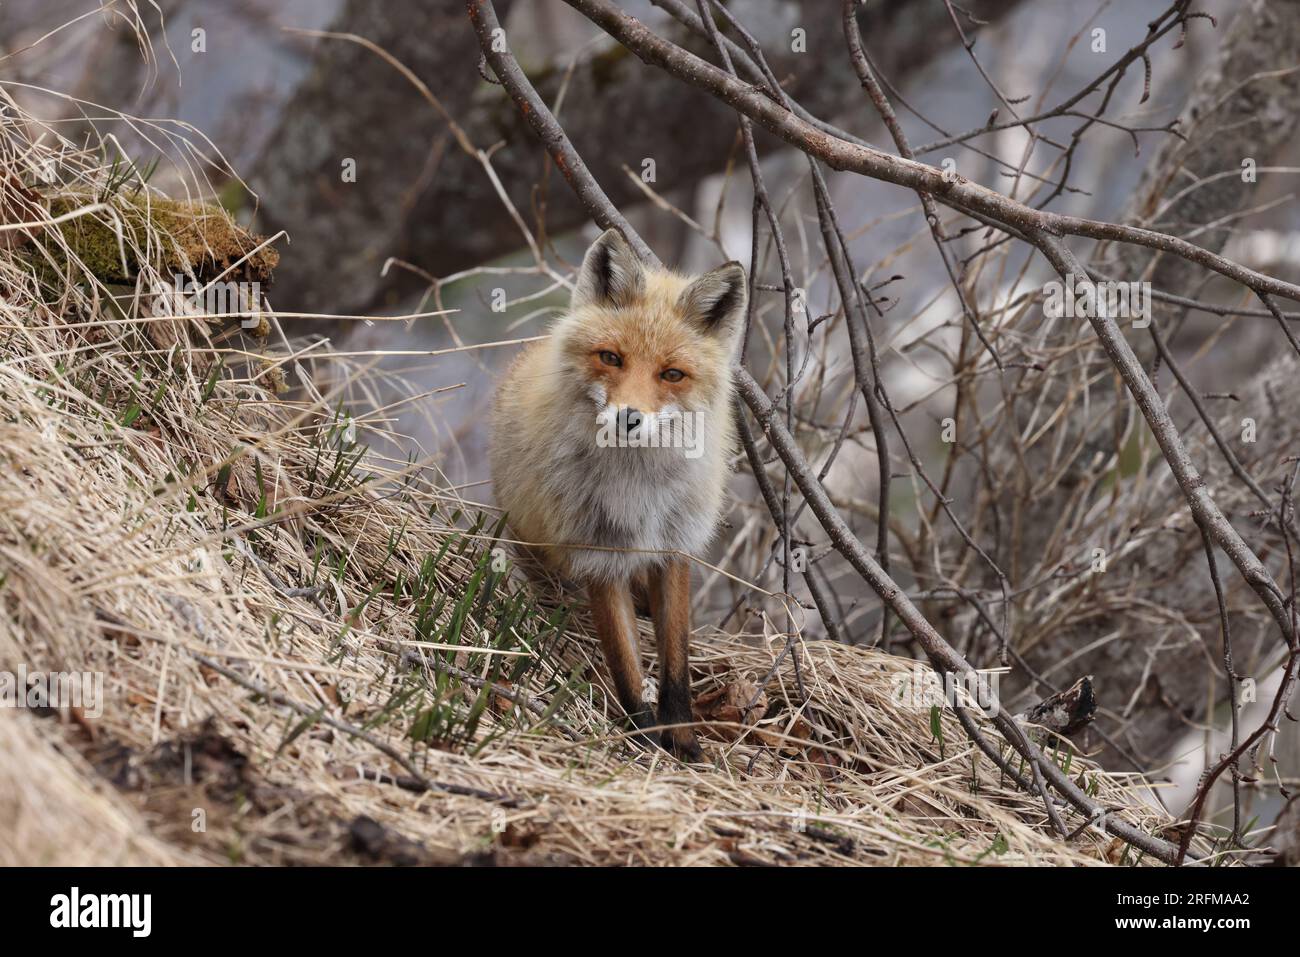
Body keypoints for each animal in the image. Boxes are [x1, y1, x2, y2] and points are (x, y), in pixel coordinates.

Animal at [489, 228, 747, 761]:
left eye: (672, 374)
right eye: (611, 358)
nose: (629, 417)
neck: (638, 490)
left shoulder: (674, 549)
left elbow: (676, 663)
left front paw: (683, 742)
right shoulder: (599, 557)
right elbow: (626, 667)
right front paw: (644, 740)